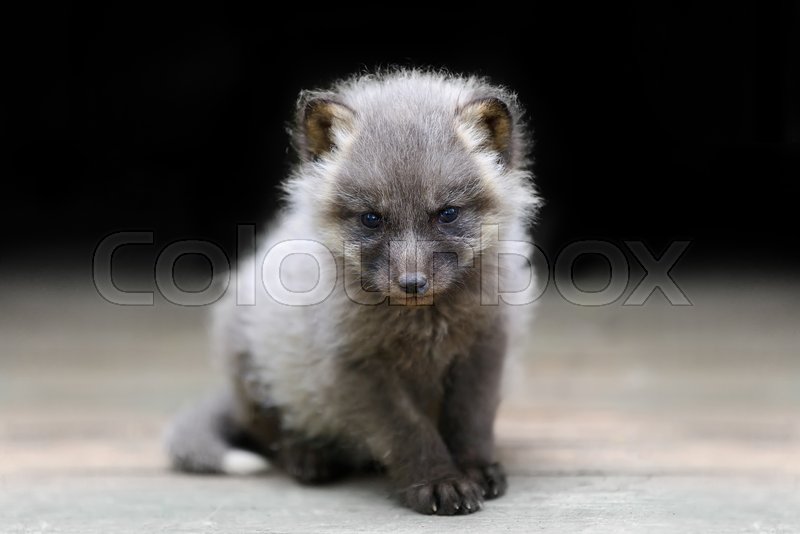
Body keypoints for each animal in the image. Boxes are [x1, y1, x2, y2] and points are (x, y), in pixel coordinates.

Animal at [166, 69, 540, 515]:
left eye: (447, 214)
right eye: (371, 218)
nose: (412, 284)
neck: (424, 328)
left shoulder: (485, 347)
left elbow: (470, 420)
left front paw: (475, 471)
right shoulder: (355, 366)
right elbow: (408, 431)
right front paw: (438, 483)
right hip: (253, 372)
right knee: (271, 433)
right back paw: (308, 457)